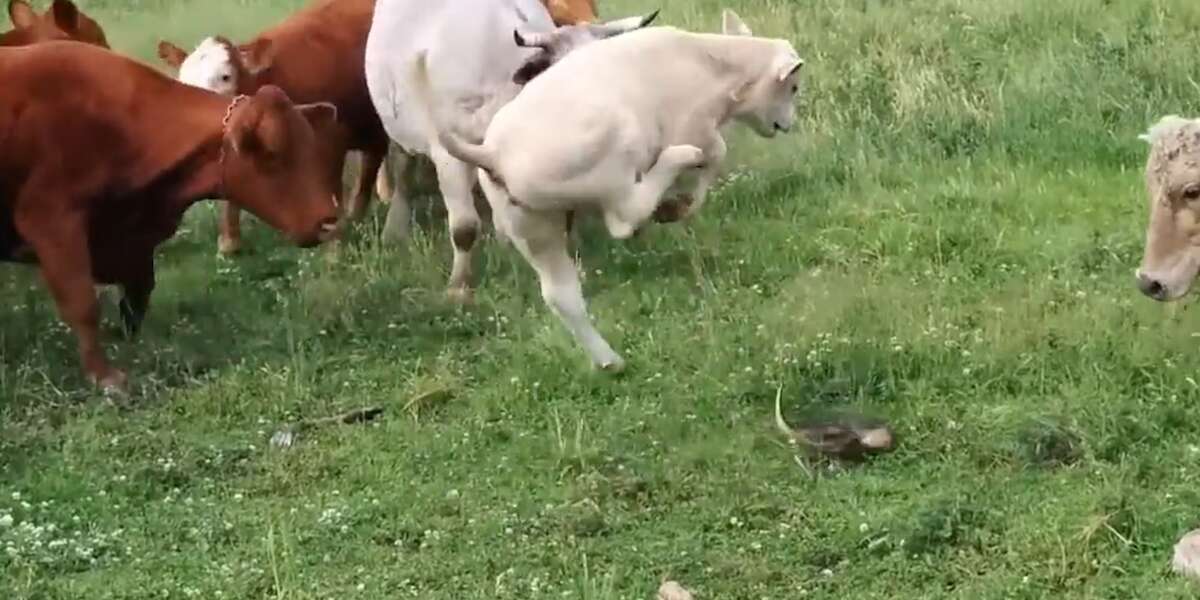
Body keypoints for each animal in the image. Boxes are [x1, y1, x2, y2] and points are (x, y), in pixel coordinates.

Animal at [0, 41, 344, 392]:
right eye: (272, 154)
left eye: (310, 145)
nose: (329, 220)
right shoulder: (51, 220)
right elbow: (83, 304)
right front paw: (104, 376)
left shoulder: (133, 243)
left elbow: (138, 296)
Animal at [421, 10, 804, 371]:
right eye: (794, 87)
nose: (788, 125)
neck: (714, 62)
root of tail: (492, 152)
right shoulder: (695, 126)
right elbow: (715, 156)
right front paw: (677, 206)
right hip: (611, 170)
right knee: (625, 218)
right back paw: (676, 164)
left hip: (532, 225)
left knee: (560, 294)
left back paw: (609, 362)